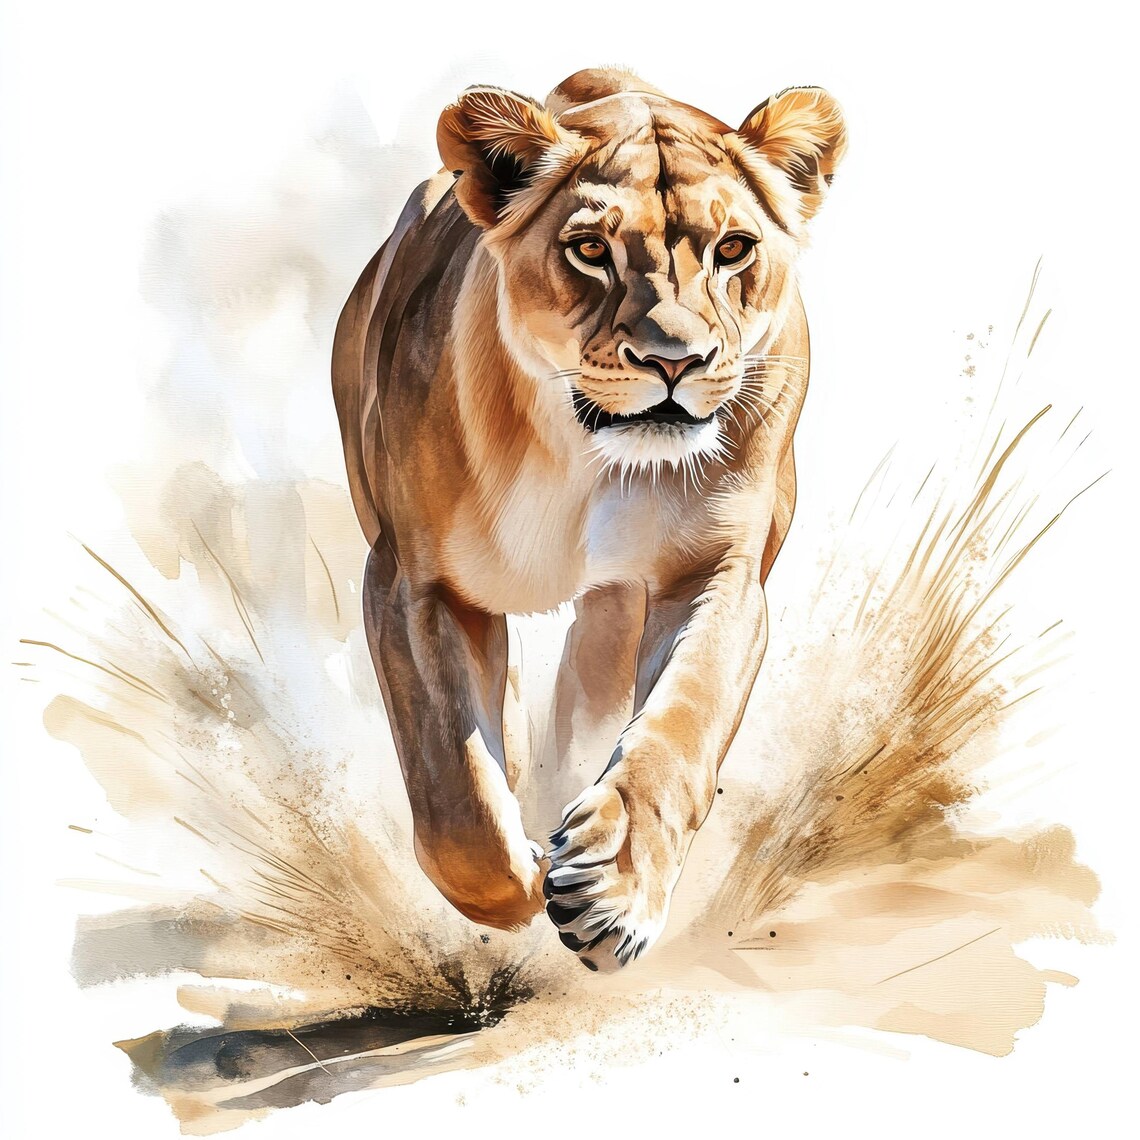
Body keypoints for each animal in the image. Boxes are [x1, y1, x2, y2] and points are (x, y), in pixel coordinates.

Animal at [332, 67, 845, 972]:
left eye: (733, 249)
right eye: (591, 250)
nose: (675, 361)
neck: (587, 456)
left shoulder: (717, 574)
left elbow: (680, 725)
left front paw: (612, 891)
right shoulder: (412, 582)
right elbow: (456, 791)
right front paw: (522, 884)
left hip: (616, 609)